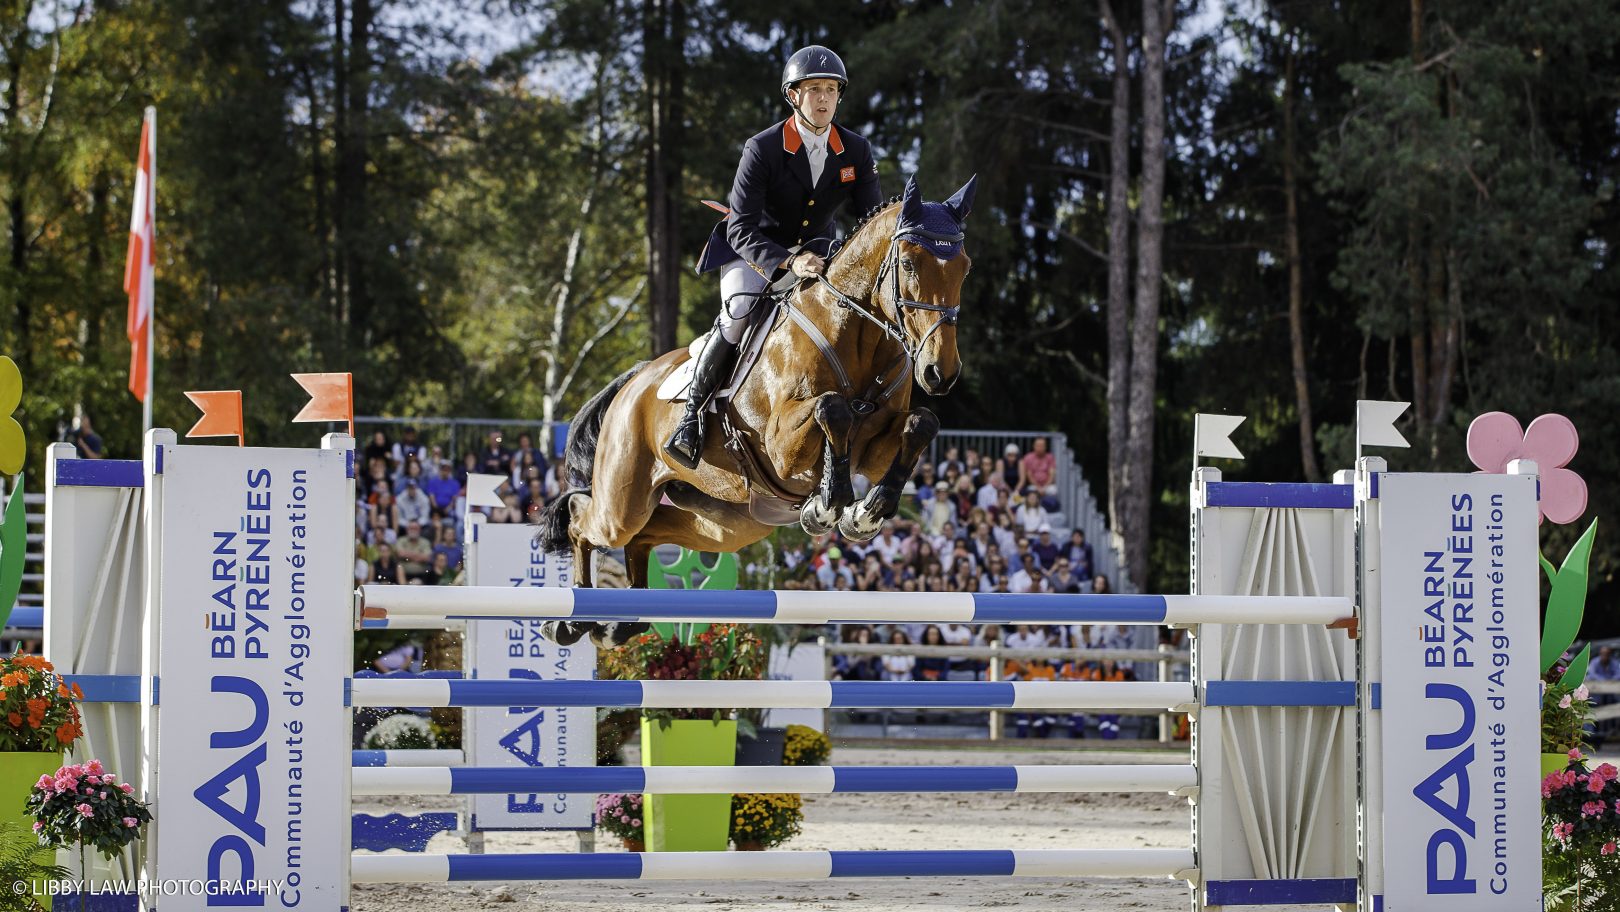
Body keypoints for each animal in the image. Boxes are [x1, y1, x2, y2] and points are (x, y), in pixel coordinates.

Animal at [536, 174, 977, 646]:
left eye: (964, 267)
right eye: (909, 264)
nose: (940, 373)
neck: (858, 335)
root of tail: (635, 379)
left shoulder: (874, 448)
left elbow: (922, 424)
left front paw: (866, 513)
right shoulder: (781, 445)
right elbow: (833, 408)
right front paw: (828, 505)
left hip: (724, 523)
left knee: (645, 535)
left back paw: (619, 623)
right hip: (624, 499)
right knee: (584, 522)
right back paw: (571, 622)